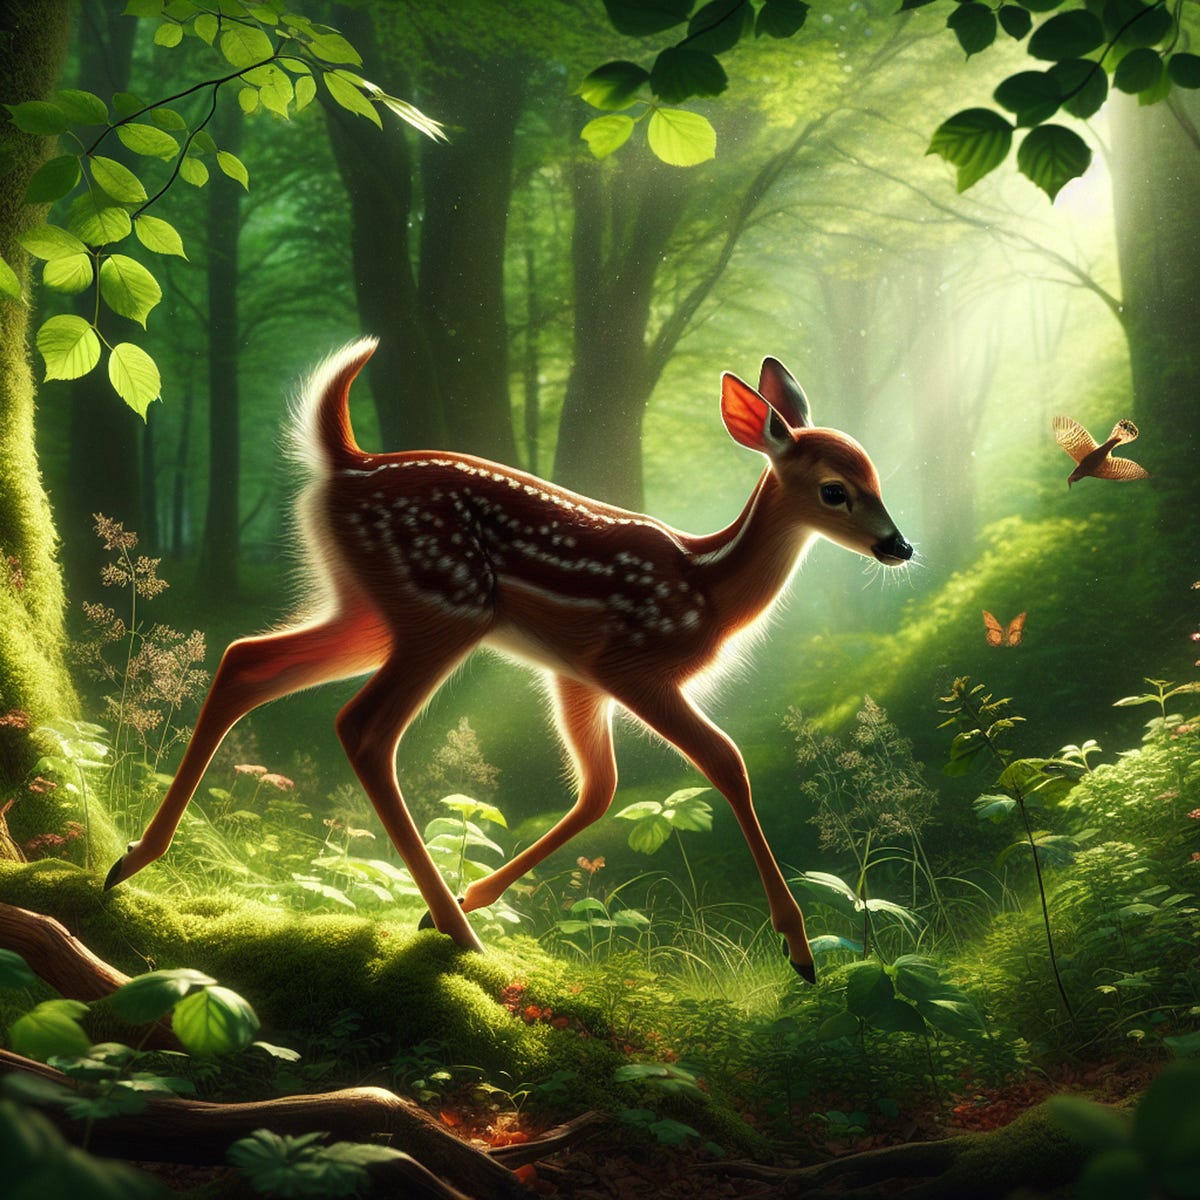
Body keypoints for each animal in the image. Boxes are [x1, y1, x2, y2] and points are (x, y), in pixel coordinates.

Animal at [104, 339, 911, 982]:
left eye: (878, 477)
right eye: (835, 489)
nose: (899, 546)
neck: (707, 587)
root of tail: (346, 460)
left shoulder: (574, 677)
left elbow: (599, 790)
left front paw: (477, 895)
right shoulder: (632, 664)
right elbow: (725, 762)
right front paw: (799, 951)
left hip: (370, 607)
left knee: (248, 658)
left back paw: (132, 859)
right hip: (444, 605)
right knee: (363, 727)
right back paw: (459, 935)